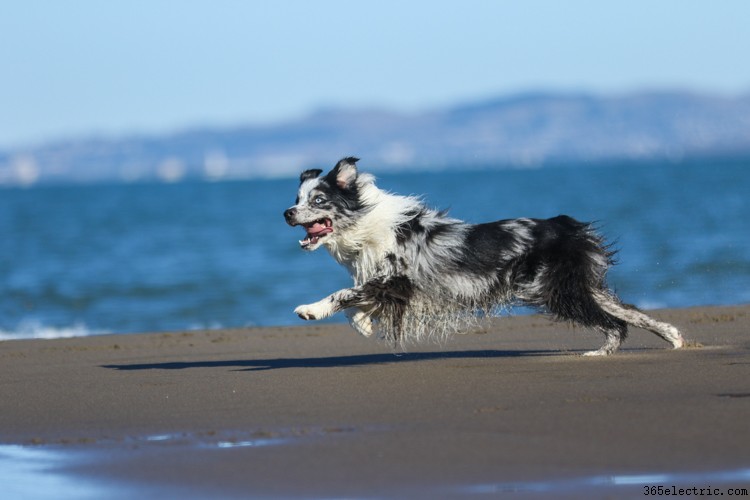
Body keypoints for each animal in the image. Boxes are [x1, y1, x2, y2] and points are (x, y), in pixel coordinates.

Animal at [286, 156, 688, 356]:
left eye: (317, 201)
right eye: (296, 199)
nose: (287, 214)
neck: (366, 222)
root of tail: (568, 226)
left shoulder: (397, 279)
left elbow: (345, 295)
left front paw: (312, 310)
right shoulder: (394, 285)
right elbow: (357, 305)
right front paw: (365, 325)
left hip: (555, 290)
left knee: (615, 322)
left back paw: (600, 353)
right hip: (579, 284)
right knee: (628, 312)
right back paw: (673, 338)